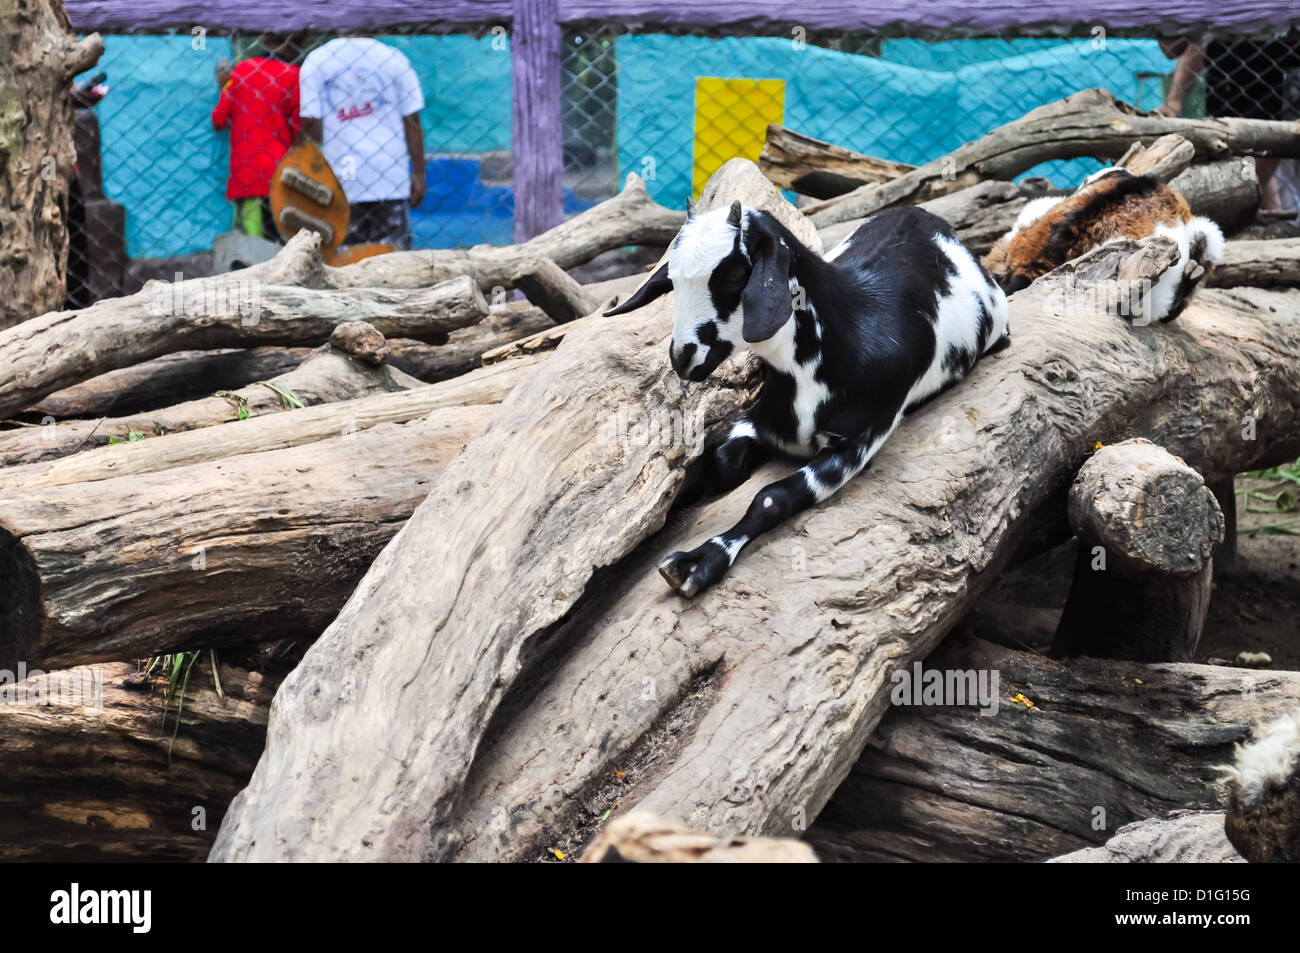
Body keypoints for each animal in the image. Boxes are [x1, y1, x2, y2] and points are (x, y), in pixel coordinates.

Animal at [605, 200, 1009, 598]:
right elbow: (723, 462)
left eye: (734, 276)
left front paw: (697, 563)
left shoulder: (854, 443)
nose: (683, 357)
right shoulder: (759, 419)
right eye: (672, 281)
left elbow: (772, 497)